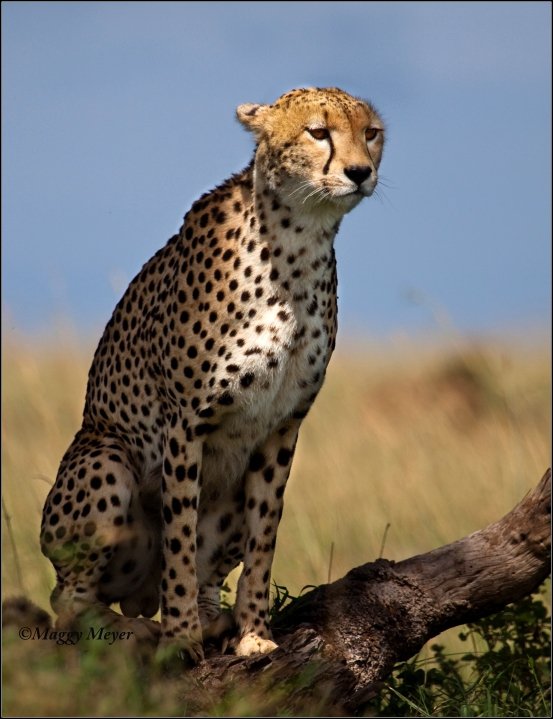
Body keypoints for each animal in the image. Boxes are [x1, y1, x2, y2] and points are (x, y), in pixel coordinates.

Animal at [40, 86, 385, 662]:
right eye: (318, 132)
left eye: (371, 133)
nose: (360, 172)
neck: (298, 240)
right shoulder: (186, 423)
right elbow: (179, 540)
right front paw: (180, 639)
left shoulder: (281, 428)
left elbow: (262, 541)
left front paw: (254, 634)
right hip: (105, 457)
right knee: (66, 600)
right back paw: (138, 629)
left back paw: (213, 622)